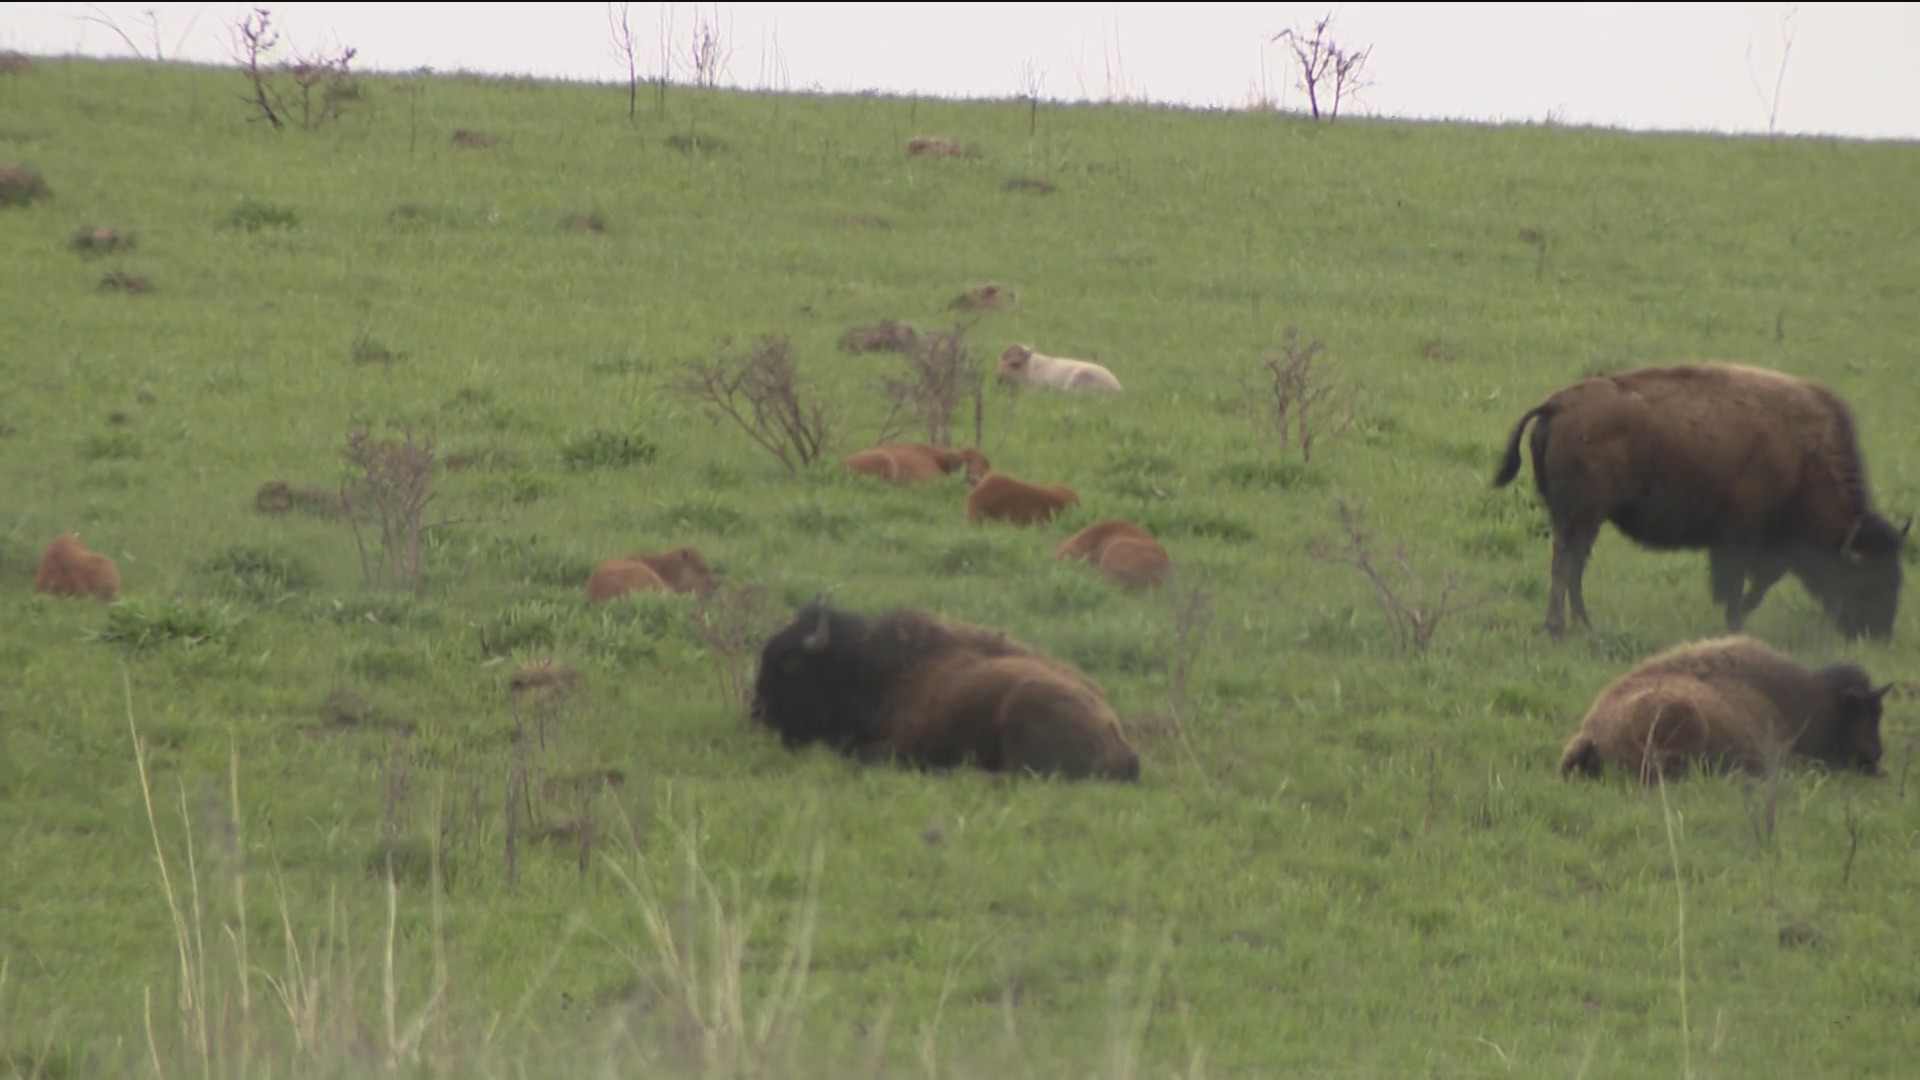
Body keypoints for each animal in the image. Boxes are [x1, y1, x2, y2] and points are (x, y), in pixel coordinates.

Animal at [749, 601, 1142, 782]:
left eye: (791, 665)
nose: (757, 712)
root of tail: (1120, 744)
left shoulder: (902, 743)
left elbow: (861, 754)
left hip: (1023, 709)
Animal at [1491, 362, 1911, 641]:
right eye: (1867, 579)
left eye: (1898, 576)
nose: (1878, 634)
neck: (1803, 456)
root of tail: (1556, 404)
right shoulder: (1742, 539)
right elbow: (1741, 584)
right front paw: (1734, 624)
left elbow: (1757, 584)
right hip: (1584, 515)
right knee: (1568, 562)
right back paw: (1566, 627)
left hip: (1574, 515)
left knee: (1571, 563)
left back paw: (1579, 624)